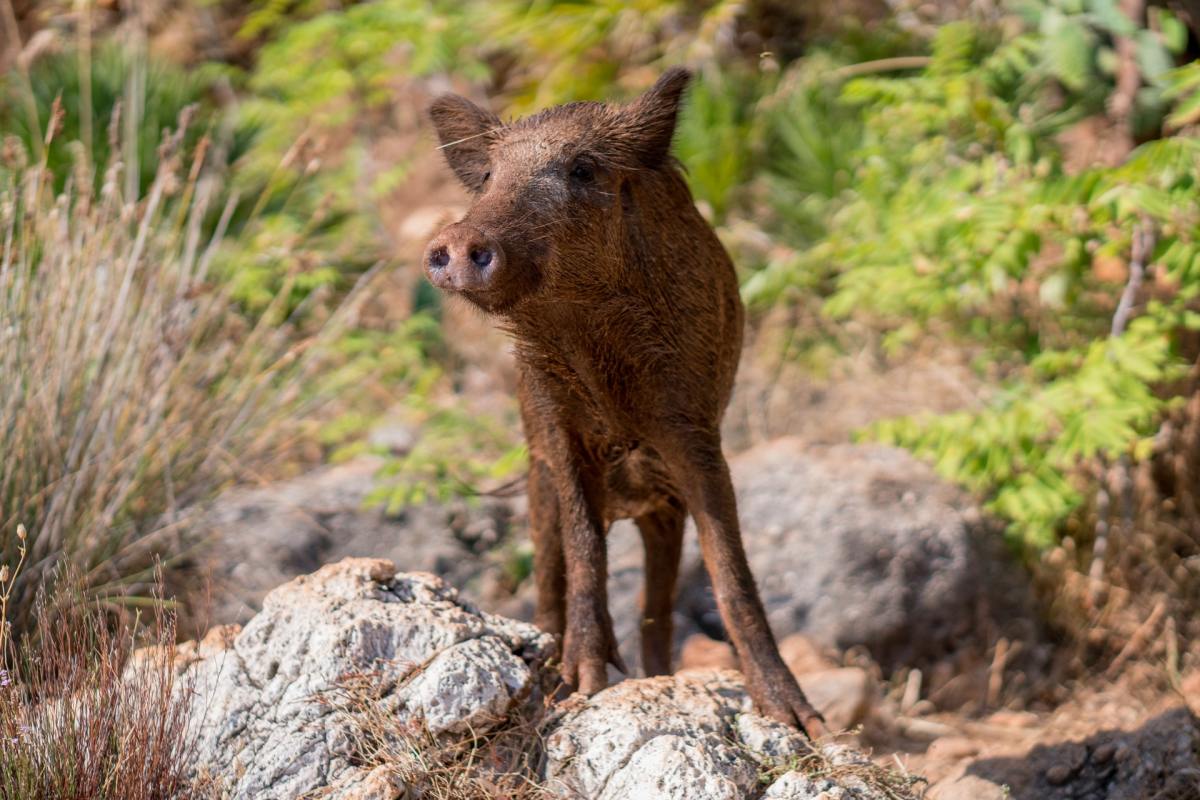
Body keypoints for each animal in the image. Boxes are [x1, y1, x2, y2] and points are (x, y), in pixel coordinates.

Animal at [423, 68, 825, 738]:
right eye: (488, 176)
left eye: (584, 169)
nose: (454, 240)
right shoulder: (556, 434)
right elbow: (585, 552)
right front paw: (579, 688)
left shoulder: (693, 432)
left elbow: (731, 571)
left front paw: (800, 723)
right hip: (536, 479)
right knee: (550, 581)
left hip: (659, 505)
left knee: (657, 603)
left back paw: (659, 676)